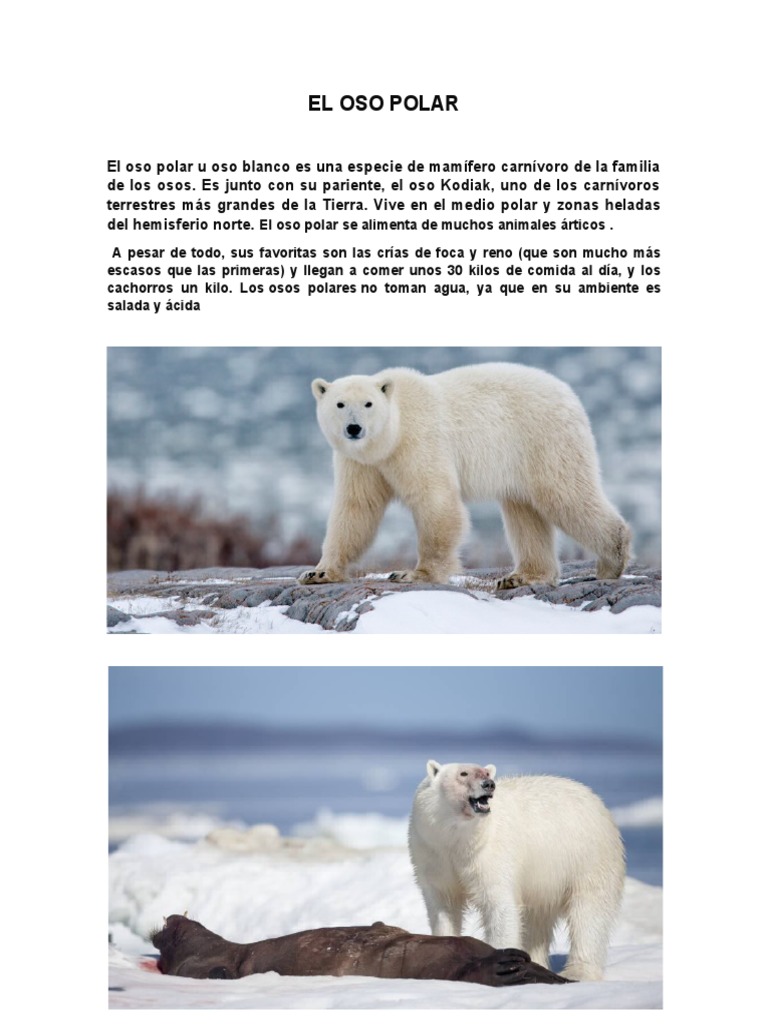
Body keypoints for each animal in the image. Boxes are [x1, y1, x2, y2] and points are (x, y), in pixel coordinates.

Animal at [297, 363, 630, 588]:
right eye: (340, 404)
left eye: (368, 404)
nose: (354, 428)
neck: (392, 435)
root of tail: (569, 393)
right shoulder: (360, 462)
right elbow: (356, 509)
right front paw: (318, 572)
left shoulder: (419, 441)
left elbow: (435, 500)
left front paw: (413, 573)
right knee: (524, 511)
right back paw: (522, 576)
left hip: (544, 438)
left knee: (564, 494)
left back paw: (612, 559)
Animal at [408, 761, 626, 982]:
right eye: (463, 773)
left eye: (487, 773)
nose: (489, 784)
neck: (459, 840)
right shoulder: (434, 854)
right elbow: (444, 906)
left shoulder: (490, 855)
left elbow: (499, 906)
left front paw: (503, 961)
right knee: (536, 920)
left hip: (588, 859)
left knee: (589, 914)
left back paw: (578, 971)